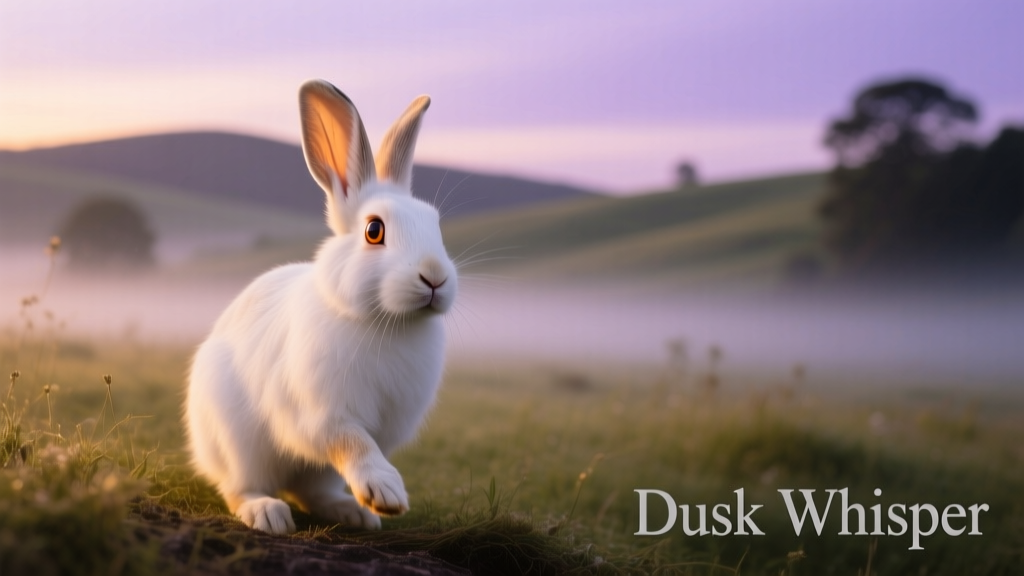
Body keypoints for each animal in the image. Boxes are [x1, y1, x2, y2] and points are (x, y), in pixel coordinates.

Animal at [185, 79, 457, 534]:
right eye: (374, 230)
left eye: (435, 226)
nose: (435, 276)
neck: (383, 320)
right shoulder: (318, 415)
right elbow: (352, 442)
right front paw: (387, 491)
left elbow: (358, 446)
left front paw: (377, 501)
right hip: (238, 445)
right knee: (240, 488)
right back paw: (268, 514)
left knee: (310, 491)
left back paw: (354, 512)